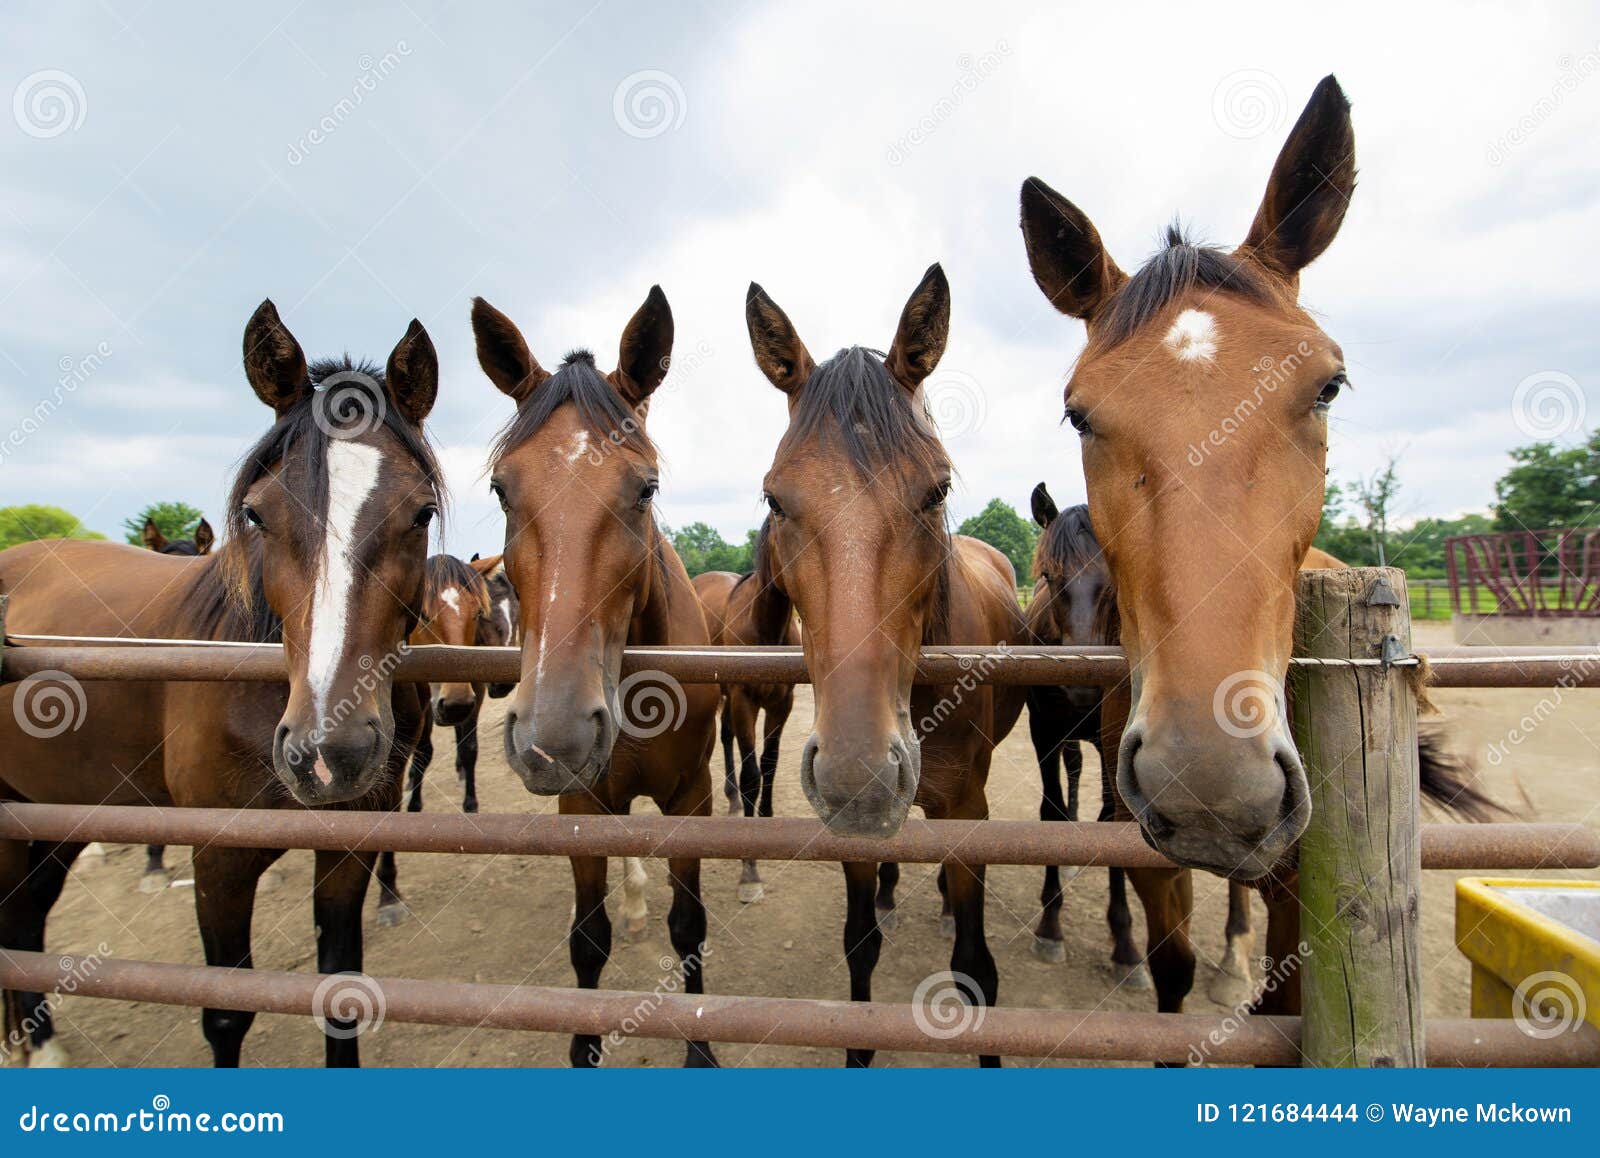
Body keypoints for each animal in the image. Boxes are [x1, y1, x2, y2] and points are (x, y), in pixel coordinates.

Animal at [0, 301, 441, 1067]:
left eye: (421, 513)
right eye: (258, 514)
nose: (328, 753)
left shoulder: (349, 847)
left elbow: (341, 994)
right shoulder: (218, 862)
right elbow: (228, 1014)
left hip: (58, 805)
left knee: (27, 915)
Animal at [471, 286, 721, 1068]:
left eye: (646, 489)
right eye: (502, 489)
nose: (554, 737)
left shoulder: (692, 798)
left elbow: (689, 928)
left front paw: (700, 1049)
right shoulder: (578, 804)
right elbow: (589, 939)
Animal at [690, 519, 800, 903]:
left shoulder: (782, 704)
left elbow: (770, 763)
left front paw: (765, 817)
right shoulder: (743, 700)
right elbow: (752, 773)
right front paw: (749, 869)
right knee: (726, 739)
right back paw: (732, 795)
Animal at [744, 263, 1027, 1066]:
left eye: (936, 490)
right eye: (775, 499)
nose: (859, 774)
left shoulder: (969, 810)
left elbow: (976, 968)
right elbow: (860, 945)